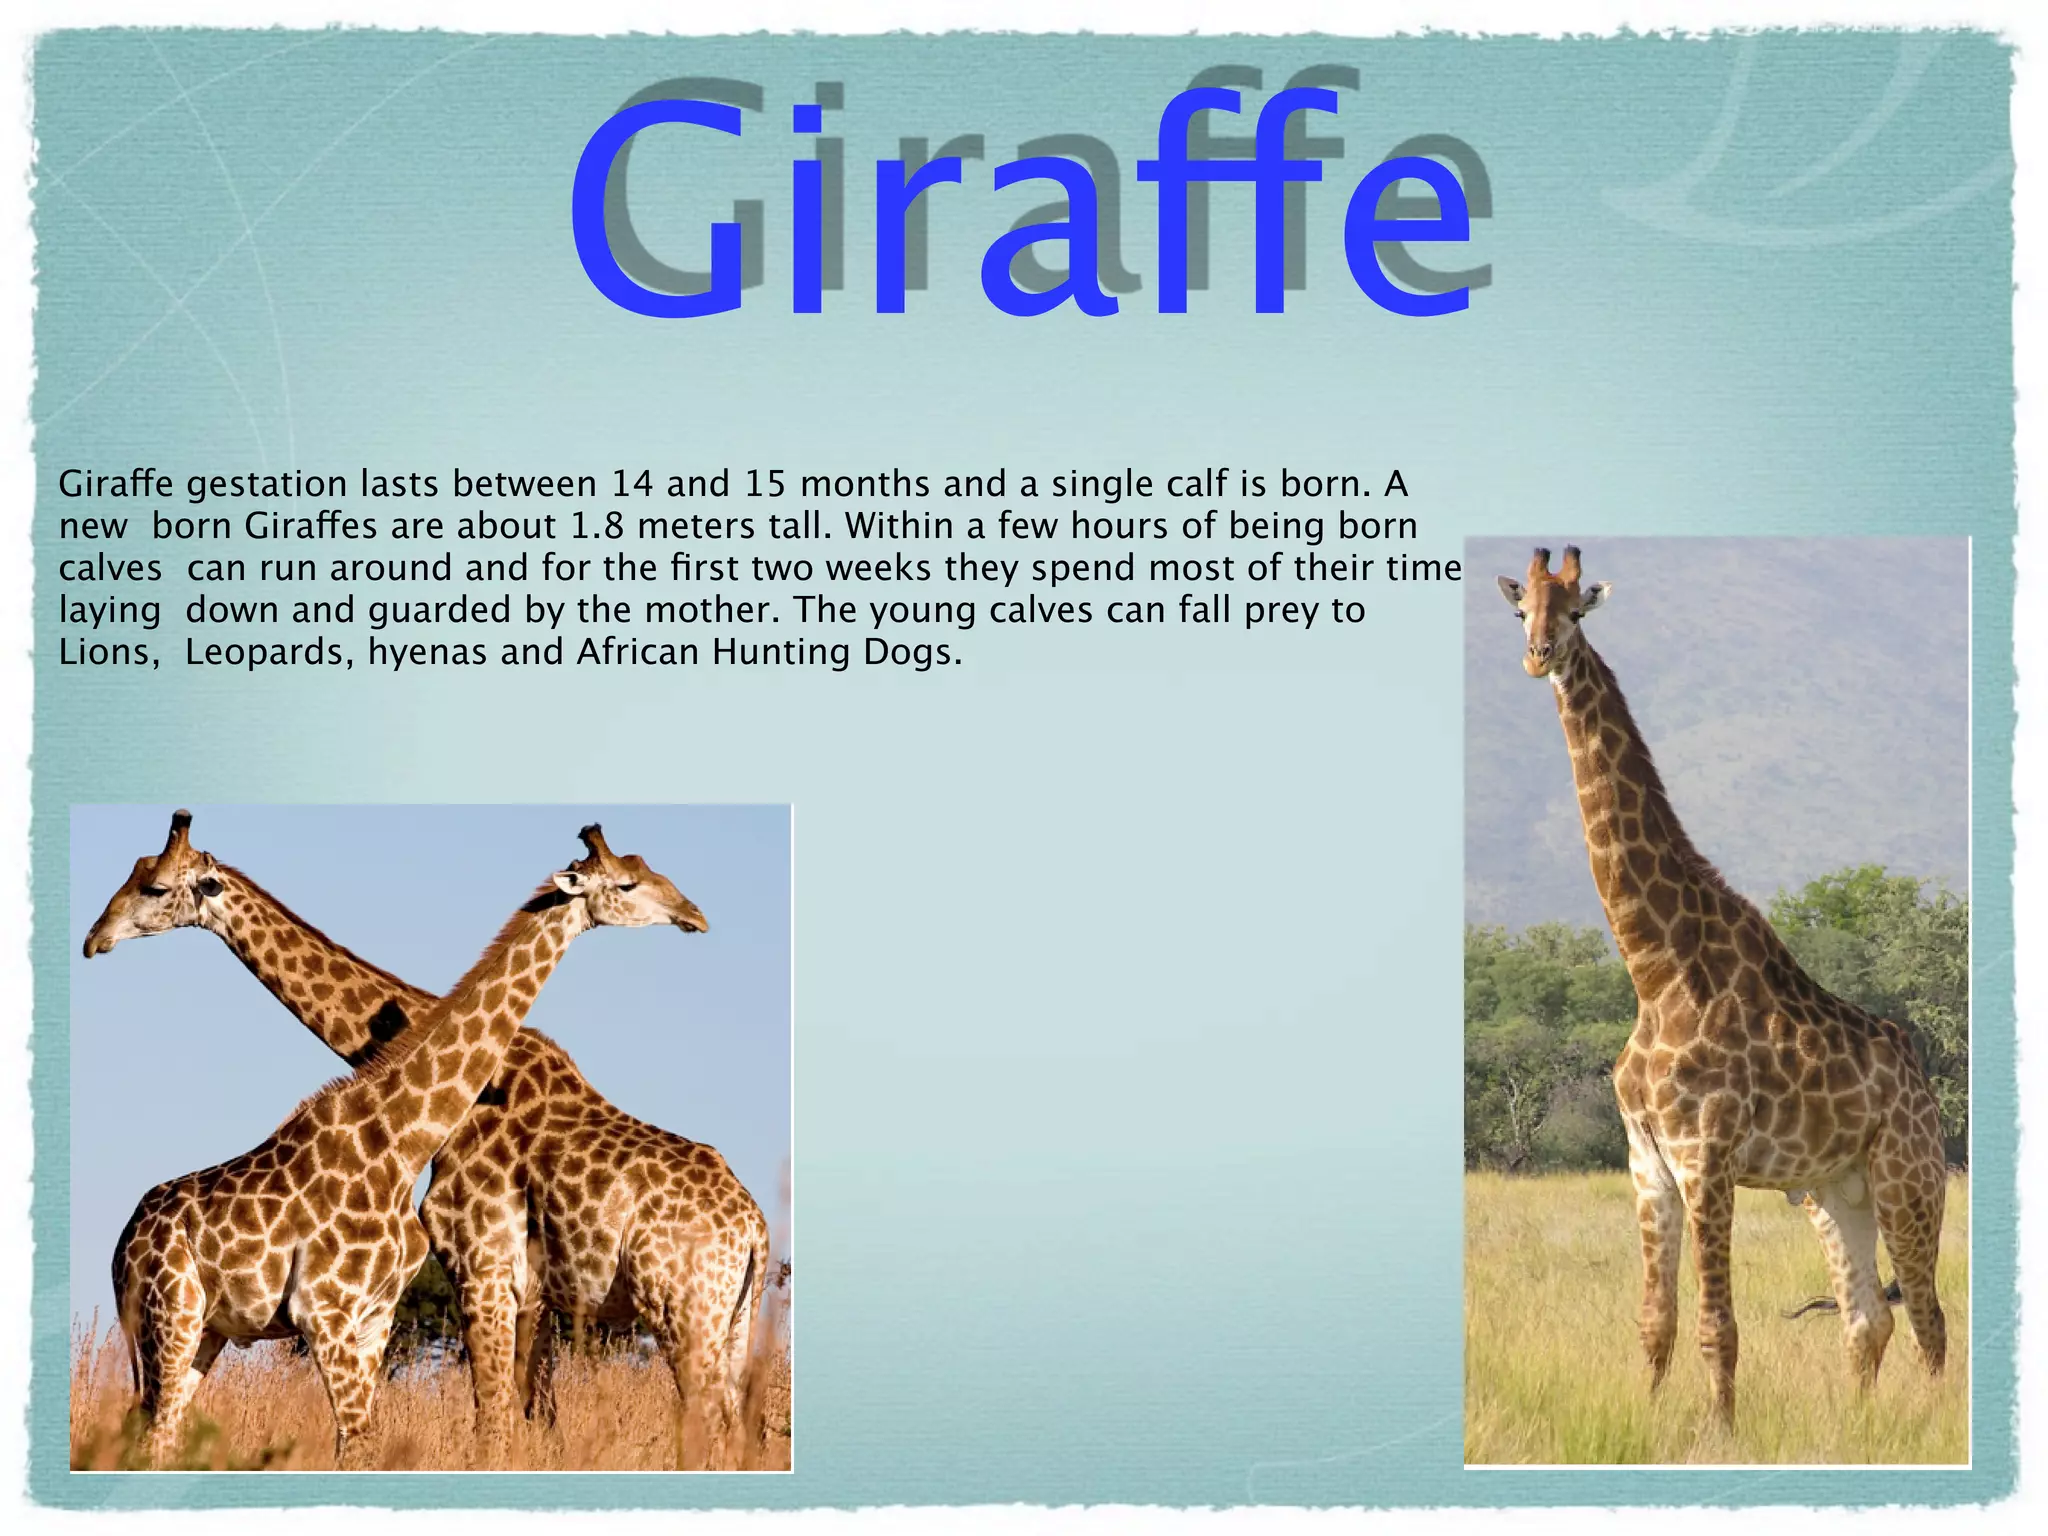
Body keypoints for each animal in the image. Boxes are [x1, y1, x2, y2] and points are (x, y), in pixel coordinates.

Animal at [84, 812, 772, 1470]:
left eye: (153, 887)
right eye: (631, 880)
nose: (95, 939)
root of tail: (755, 1228)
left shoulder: (474, 1276)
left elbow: (494, 1426)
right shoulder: (489, 1289)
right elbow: (508, 1425)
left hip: (691, 1311)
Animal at [1493, 546, 1949, 1426]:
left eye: (1577, 611)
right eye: (1521, 608)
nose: (1537, 656)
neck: (1654, 967)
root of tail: (1922, 1082)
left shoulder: (1707, 1153)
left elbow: (1717, 1325)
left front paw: (1720, 1432)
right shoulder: (1646, 1158)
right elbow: (1655, 1321)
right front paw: (1643, 1422)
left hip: (1910, 1179)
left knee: (1929, 1318)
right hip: (1833, 1190)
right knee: (1867, 1317)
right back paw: (1857, 1426)